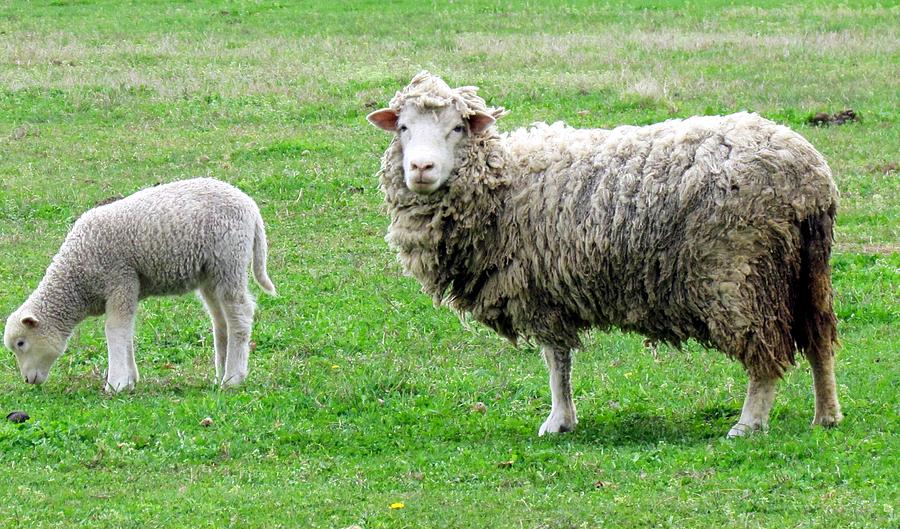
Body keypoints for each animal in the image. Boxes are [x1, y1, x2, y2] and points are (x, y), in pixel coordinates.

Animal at [3, 177, 276, 392]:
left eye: (21, 343)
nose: (27, 379)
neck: (77, 280)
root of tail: (250, 207)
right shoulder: (128, 288)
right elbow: (127, 331)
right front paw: (130, 379)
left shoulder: (119, 280)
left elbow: (114, 330)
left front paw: (115, 383)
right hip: (210, 274)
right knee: (221, 321)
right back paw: (221, 372)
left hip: (229, 260)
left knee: (240, 314)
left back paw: (233, 377)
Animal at [367, 71, 842, 437]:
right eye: (403, 127)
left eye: (457, 128)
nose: (421, 169)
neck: (503, 184)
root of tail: (810, 176)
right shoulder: (549, 288)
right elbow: (560, 360)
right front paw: (563, 419)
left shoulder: (539, 291)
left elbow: (556, 360)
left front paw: (558, 421)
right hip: (808, 271)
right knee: (819, 341)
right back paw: (826, 415)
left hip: (739, 272)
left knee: (764, 355)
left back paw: (748, 424)